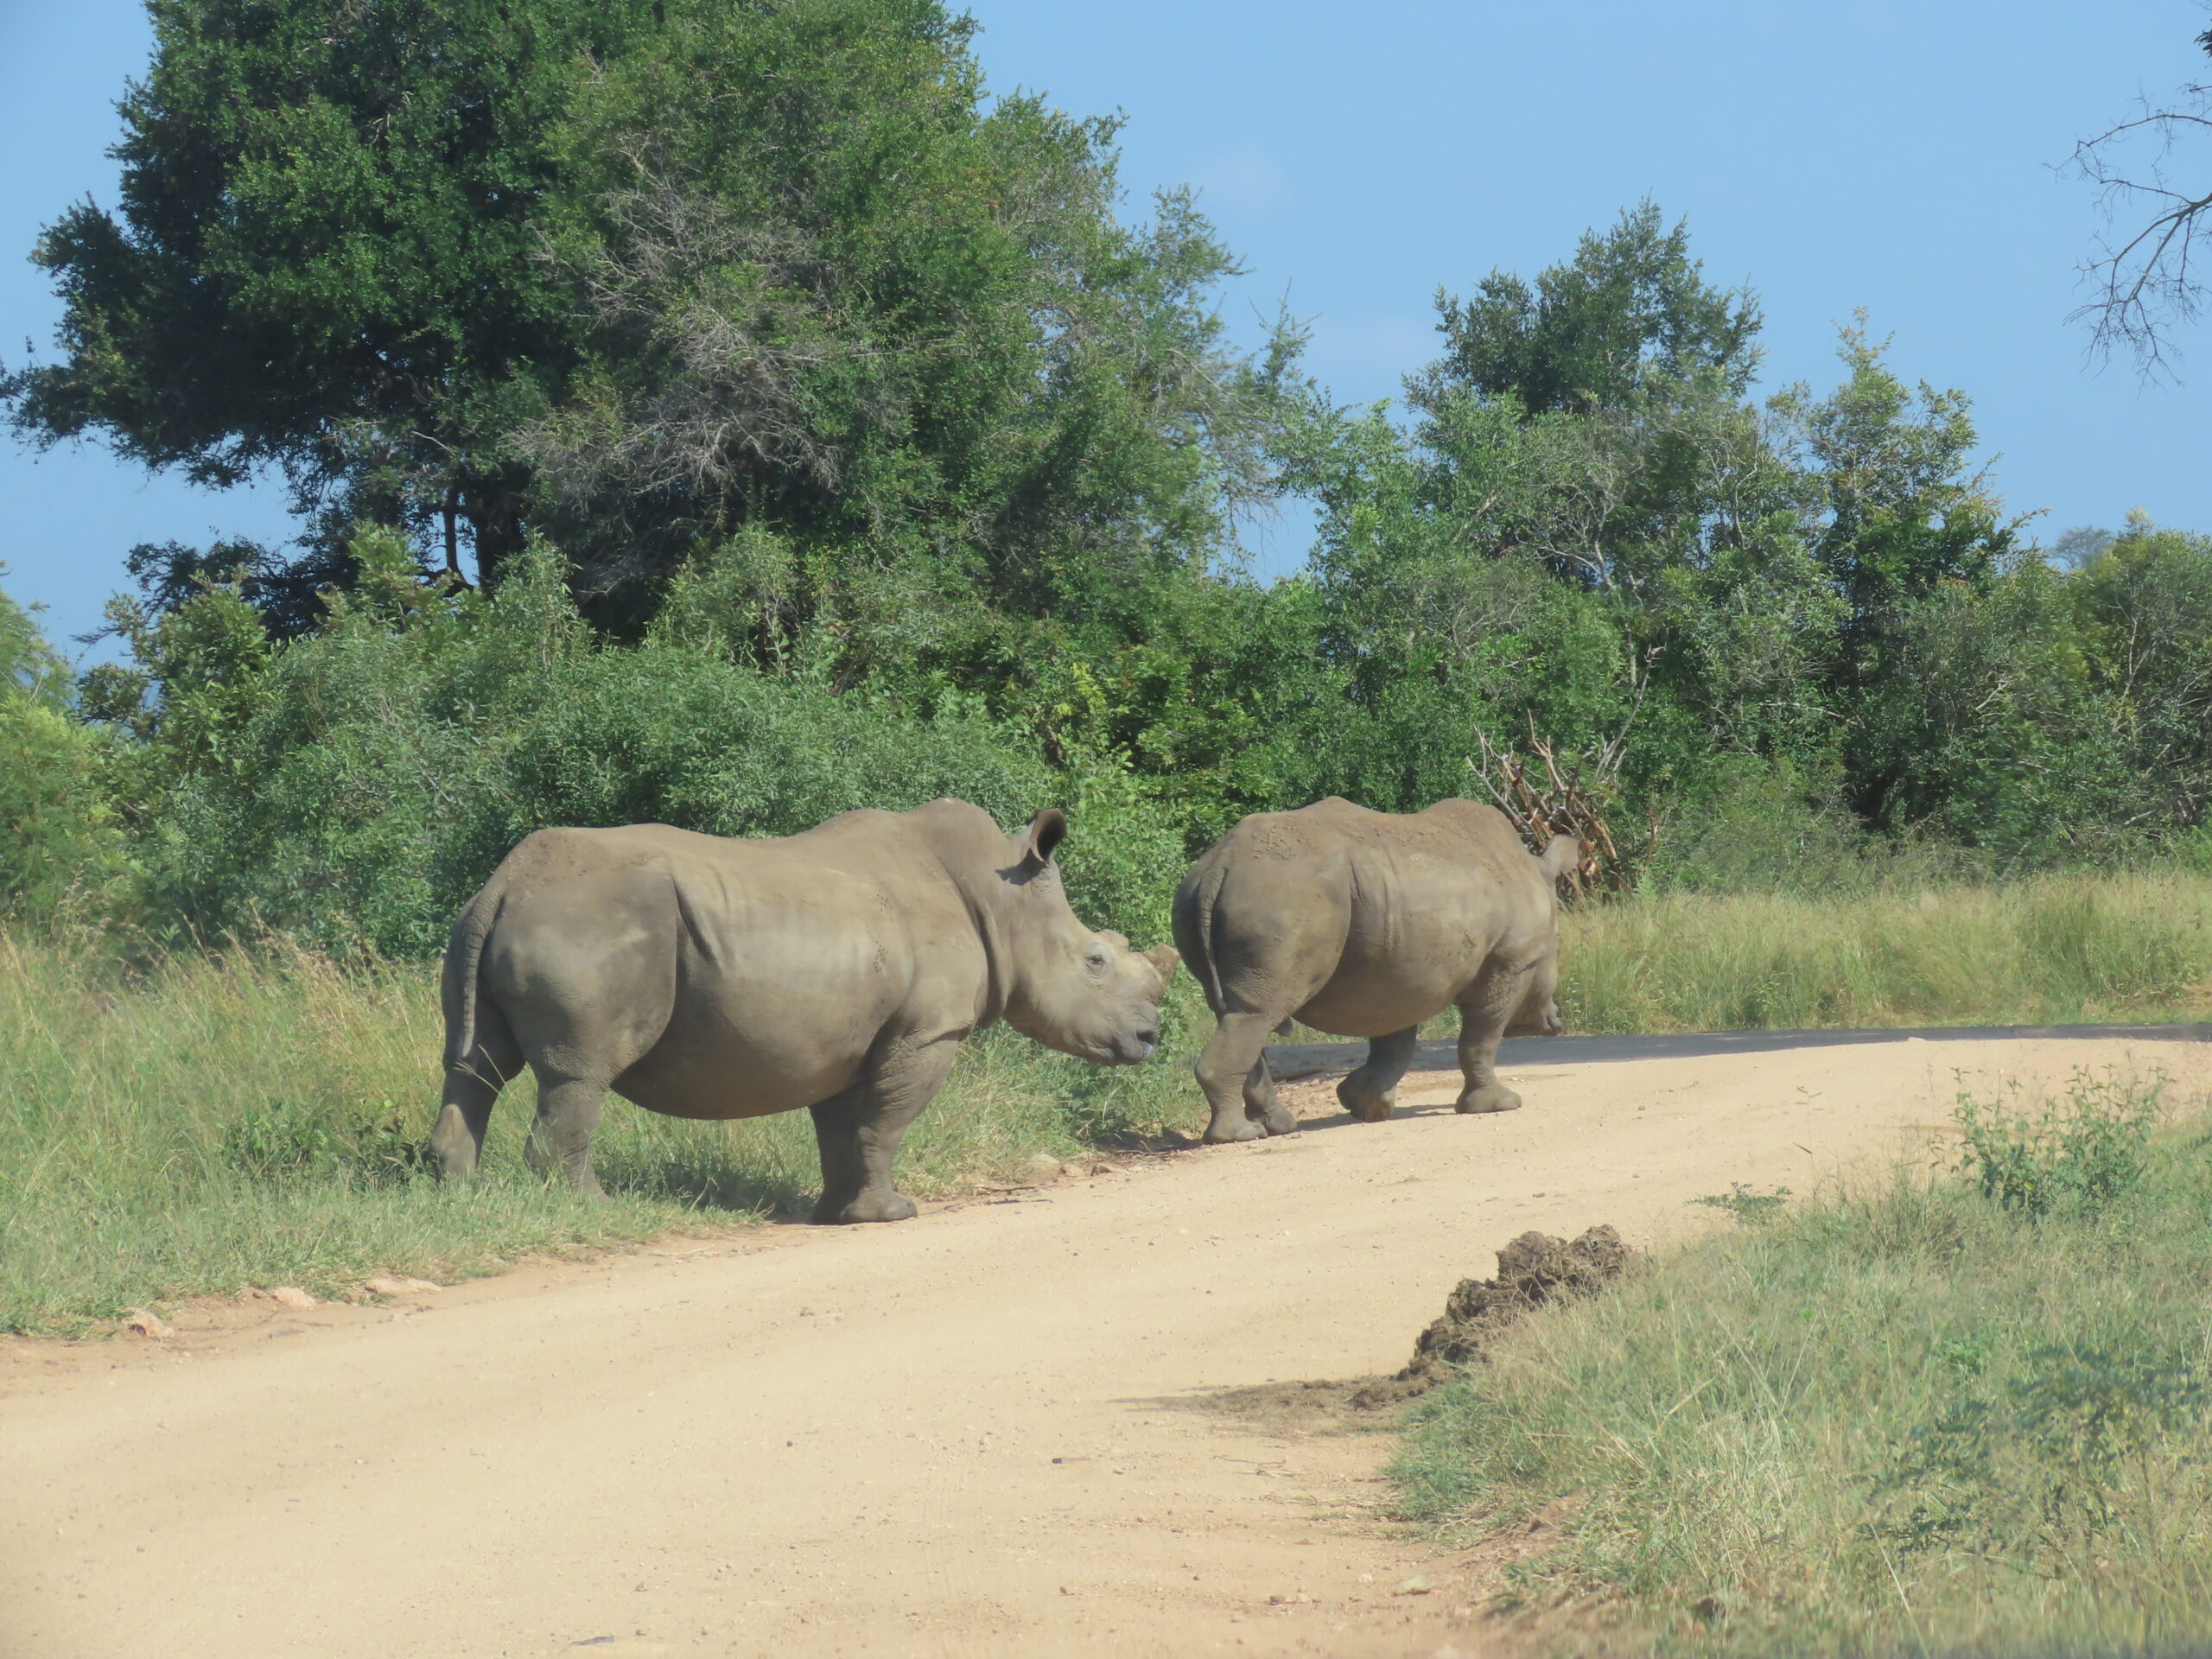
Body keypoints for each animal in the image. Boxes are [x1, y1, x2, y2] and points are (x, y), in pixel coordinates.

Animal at [430, 801, 1178, 1222]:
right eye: (1095, 961)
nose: (1151, 1036)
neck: (1004, 900)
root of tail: (506, 882)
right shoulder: (928, 1033)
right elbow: (885, 1123)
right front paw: (893, 1215)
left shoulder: (843, 1036)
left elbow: (843, 1128)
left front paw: (839, 1215)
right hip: (589, 923)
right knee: (581, 1071)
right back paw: (592, 1210)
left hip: (491, 921)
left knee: (475, 1066)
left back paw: (461, 1199)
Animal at [1172, 797, 1576, 1143]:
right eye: (1555, 954)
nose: (1555, 1022)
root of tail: (1219, 865)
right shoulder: (1511, 960)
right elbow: (1483, 1034)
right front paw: (1499, 1105)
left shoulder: (1401, 970)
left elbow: (1394, 1039)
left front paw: (1367, 1106)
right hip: (1283, 897)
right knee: (1259, 1013)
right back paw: (1240, 1136)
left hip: (1214, 895)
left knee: (1238, 1013)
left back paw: (1278, 1127)